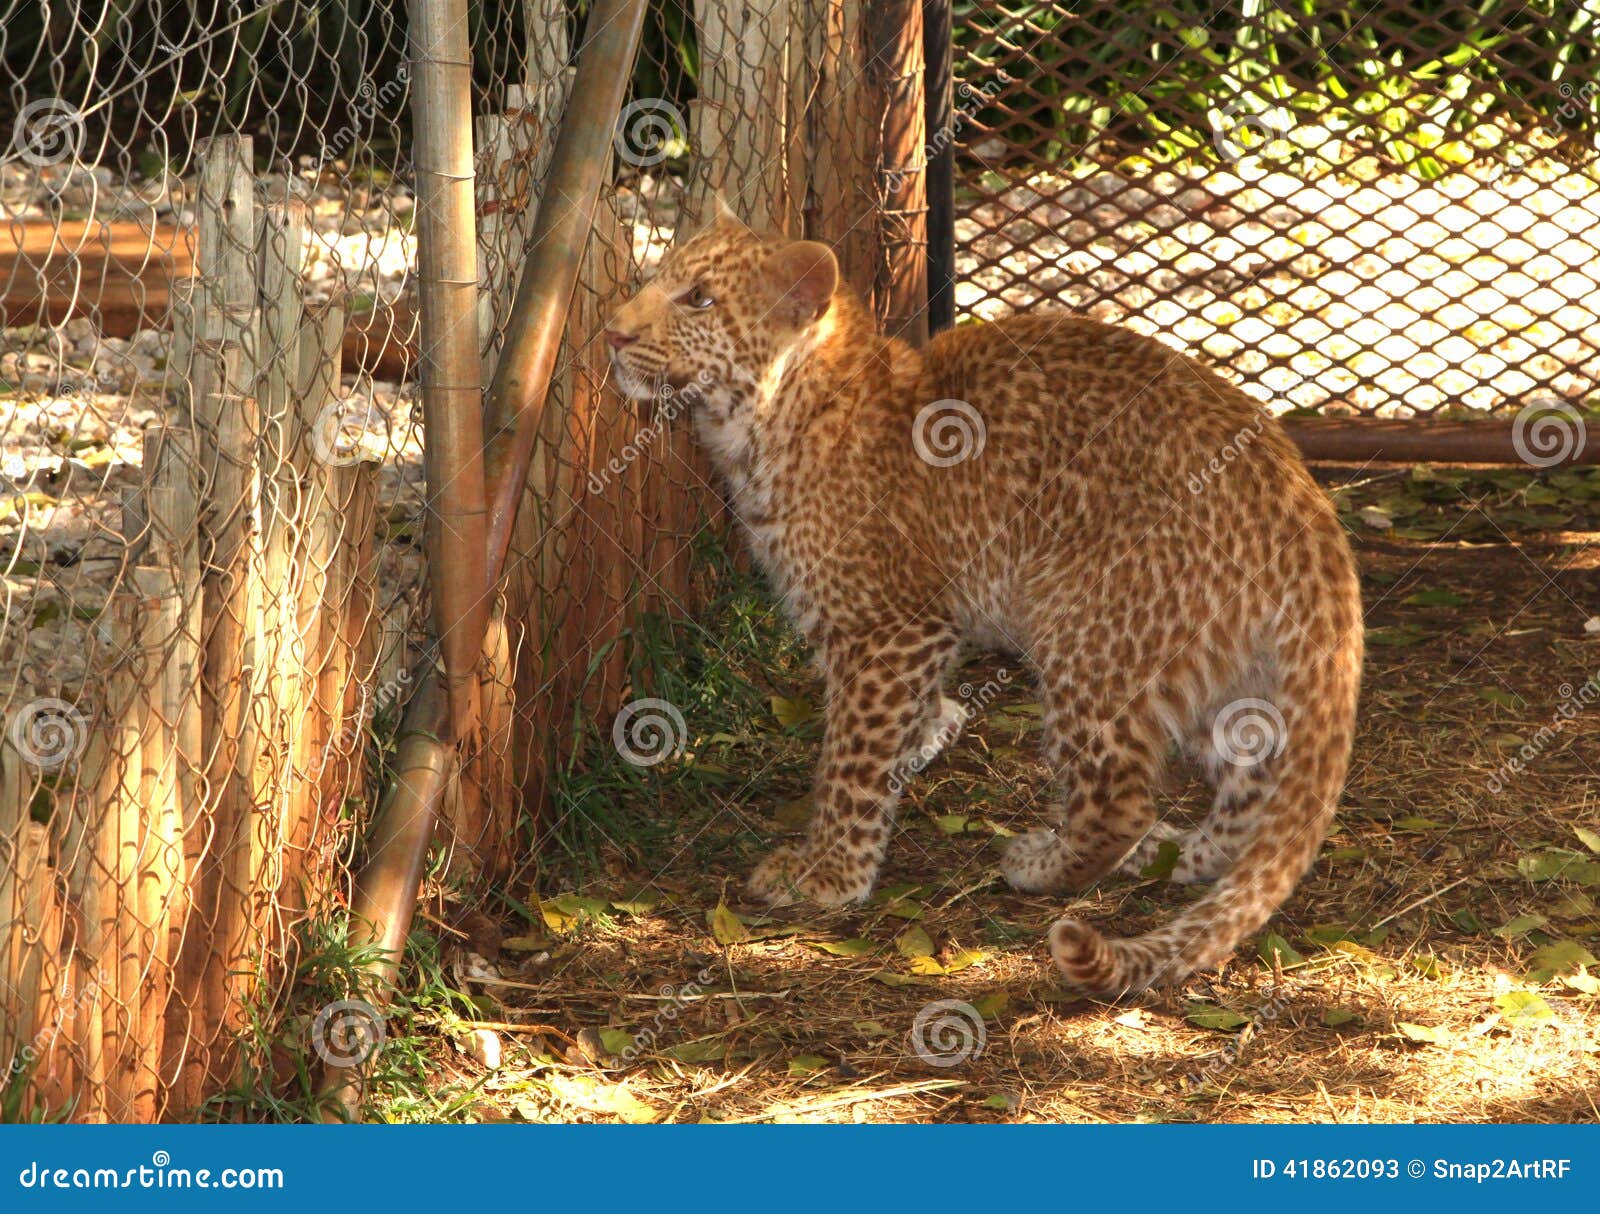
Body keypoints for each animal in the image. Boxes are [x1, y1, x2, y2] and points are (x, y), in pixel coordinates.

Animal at [603, 199, 1363, 996]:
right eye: (657, 277)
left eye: (699, 300)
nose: (612, 332)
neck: (762, 424)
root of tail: (1303, 500)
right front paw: (932, 729)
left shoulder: (891, 626)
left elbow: (850, 759)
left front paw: (830, 872)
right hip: (1238, 678)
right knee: (1253, 790)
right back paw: (1178, 856)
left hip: (1083, 629)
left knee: (1119, 799)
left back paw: (1049, 863)